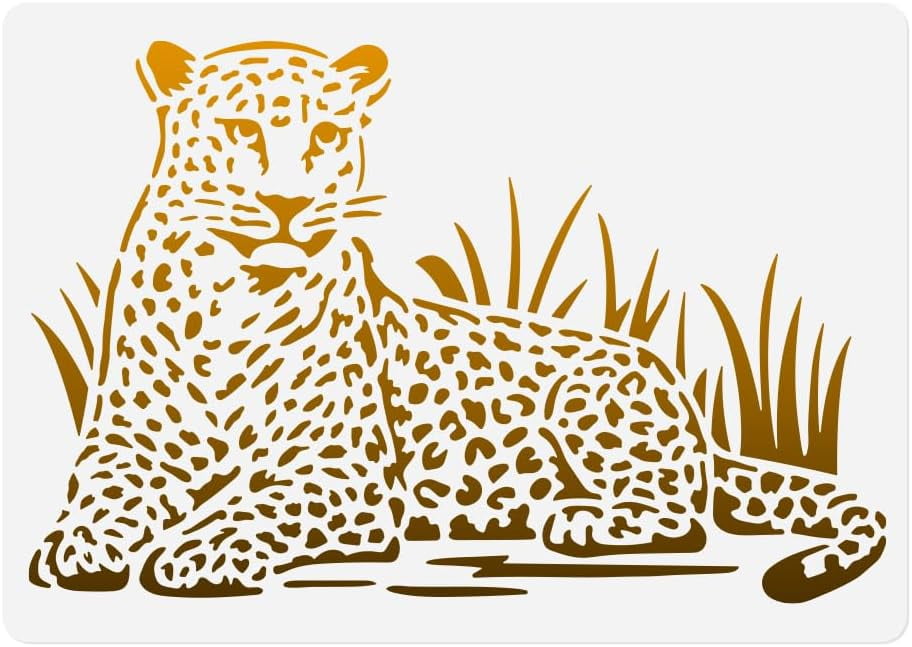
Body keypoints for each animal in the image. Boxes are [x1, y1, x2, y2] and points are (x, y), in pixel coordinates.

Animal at [29, 40, 886, 604]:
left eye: (326, 135)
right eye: (242, 130)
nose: (287, 204)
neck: (230, 294)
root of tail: (699, 425)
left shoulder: (345, 471)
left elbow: (258, 503)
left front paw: (202, 551)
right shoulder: (129, 443)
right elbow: (100, 494)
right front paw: (77, 542)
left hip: (589, 395)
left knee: (685, 515)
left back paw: (579, 518)